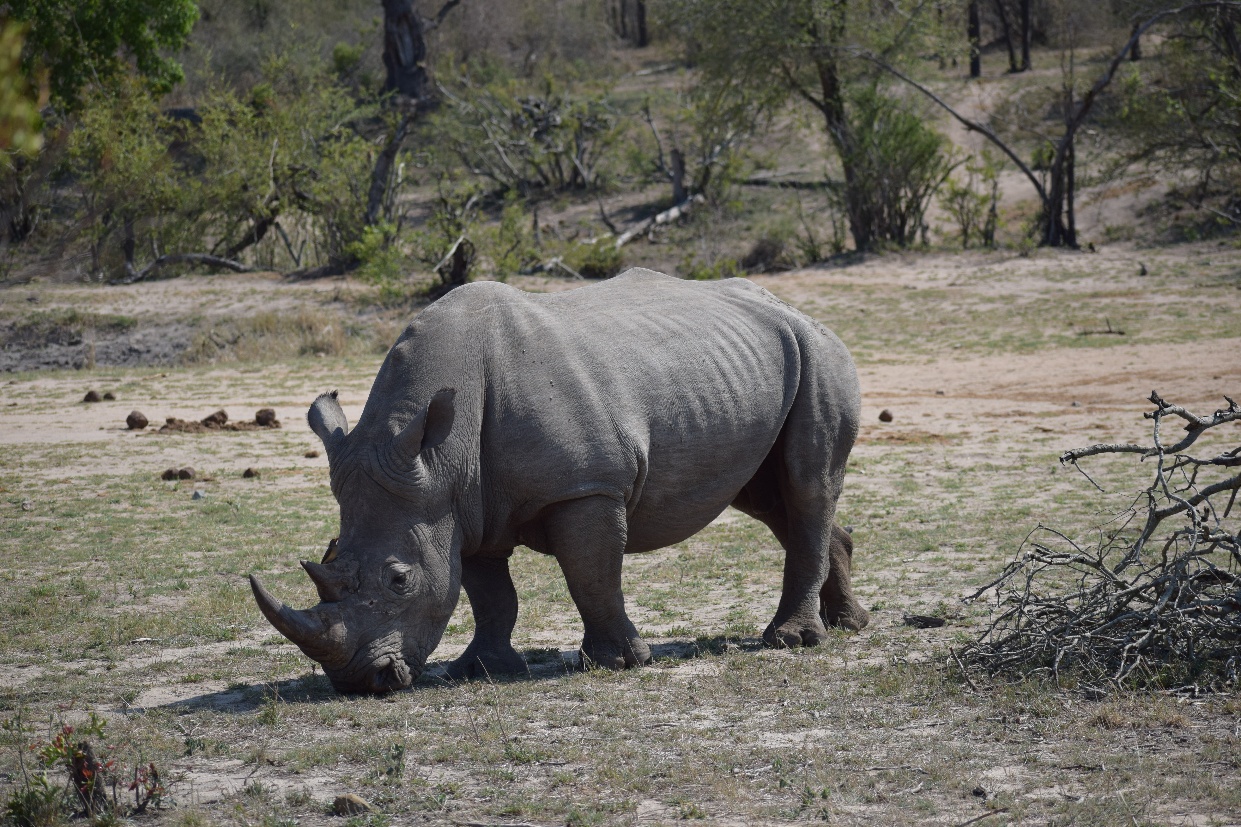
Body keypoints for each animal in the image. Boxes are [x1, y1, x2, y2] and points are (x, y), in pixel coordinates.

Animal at [250, 269, 867, 694]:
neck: (440, 457)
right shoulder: (462, 504)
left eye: (399, 580)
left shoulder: (586, 486)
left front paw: (616, 663)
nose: (360, 682)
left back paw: (792, 641)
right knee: (770, 498)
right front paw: (480, 670)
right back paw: (849, 624)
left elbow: (590, 576)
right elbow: (488, 593)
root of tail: (797, 311)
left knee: (805, 485)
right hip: (751, 370)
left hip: (821, 353)